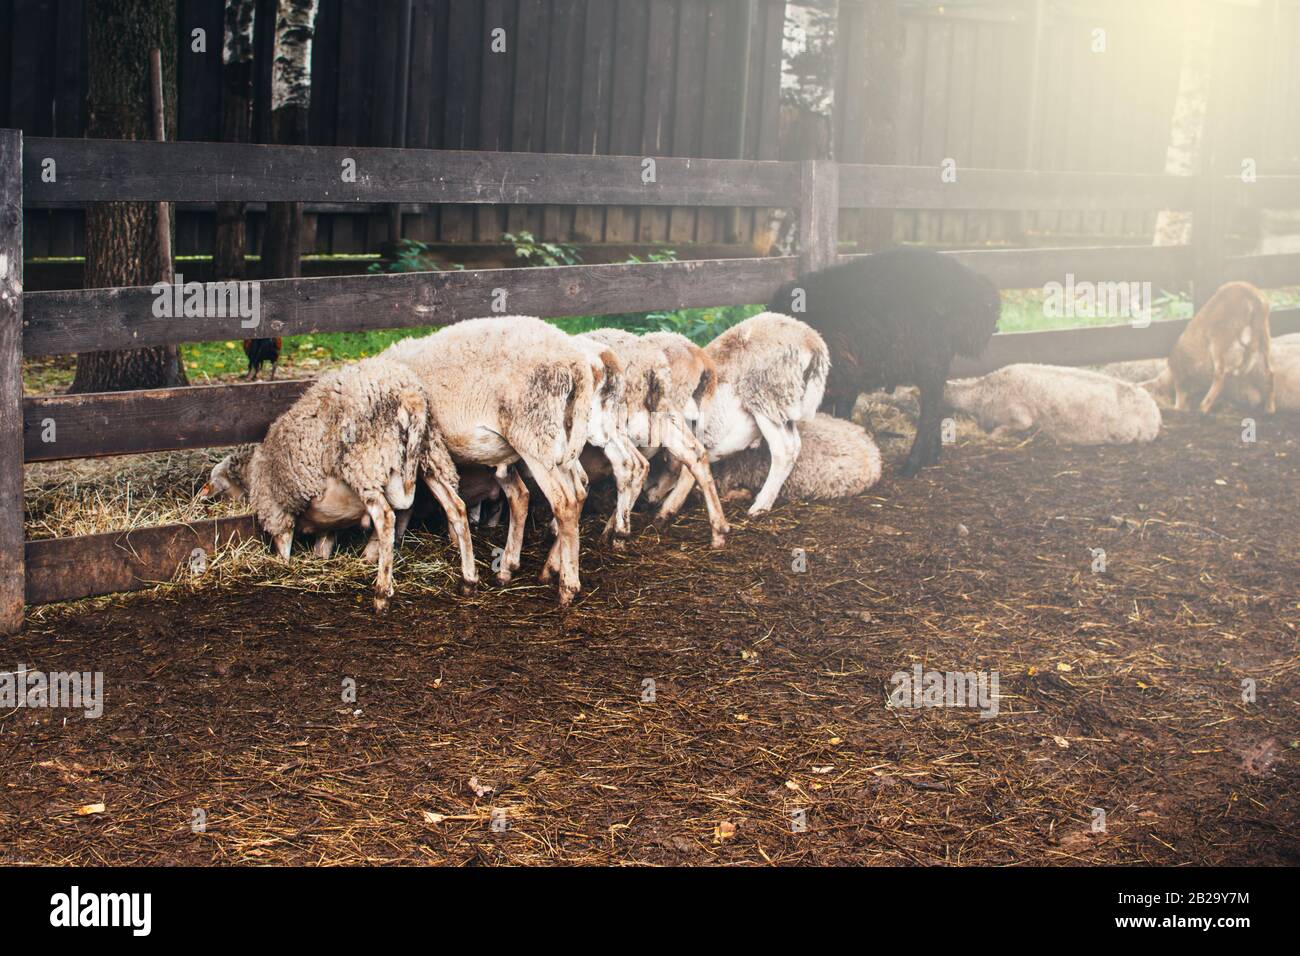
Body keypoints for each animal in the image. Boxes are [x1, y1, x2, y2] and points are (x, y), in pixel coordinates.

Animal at [201, 357, 474, 610]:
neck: (251, 472)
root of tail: (411, 397)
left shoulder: (277, 509)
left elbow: (284, 545)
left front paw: (284, 565)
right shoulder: (326, 521)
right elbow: (323, 543)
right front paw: (319, 559)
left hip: (364, 463)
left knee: (386, 518)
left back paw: (382, 594)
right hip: (430, 455)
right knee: (456, 507)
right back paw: (469, 579)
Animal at [381, 316, 598, 605]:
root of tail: (577, 364)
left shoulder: (423, 451)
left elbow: (447, 506)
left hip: (534, 436)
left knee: (564, 503)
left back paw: (567, 586)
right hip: (561, 436)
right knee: (571, 489)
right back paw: (536, 568)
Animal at [653, 312, 830, 517]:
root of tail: (812, 340)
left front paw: (667, 507)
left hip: (765, 395)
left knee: (784, 449)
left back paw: (760, 505)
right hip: (784, 405)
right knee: (795, 445)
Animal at [769, 247, 1001, 475]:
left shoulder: (844, 375)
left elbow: (842, 414)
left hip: (931, 359)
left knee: (929, 410)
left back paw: (912, 464)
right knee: (935, 405)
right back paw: (932, 455)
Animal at [1159, 281, 1275, 414]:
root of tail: (1254, 295)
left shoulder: (1181, 377)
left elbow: (1181, 400)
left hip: (1220, 338)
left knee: (1220, 372)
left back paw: (1203, 408)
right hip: (1263, 335)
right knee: (1269, 372)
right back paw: (1270, 409)